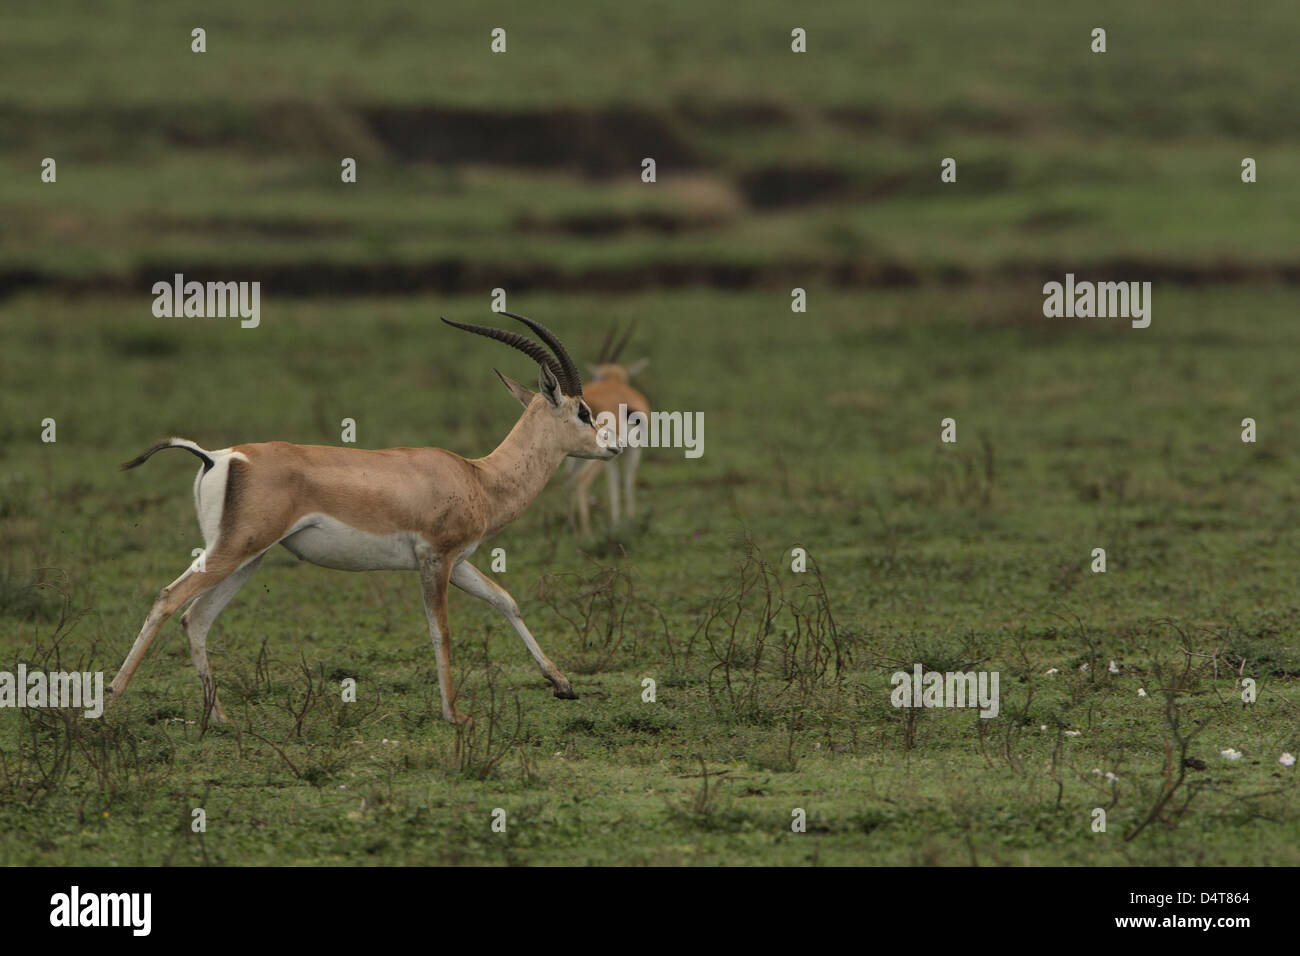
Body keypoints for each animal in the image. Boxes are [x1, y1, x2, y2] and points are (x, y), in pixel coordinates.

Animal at [108, 313, 619, 725]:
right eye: (582, 410)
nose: (612, 446)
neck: (480, 477)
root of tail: (218, 456)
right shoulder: (435, 559)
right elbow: (441, 632)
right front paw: (455, 716)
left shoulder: (458, 562)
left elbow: (505, 600)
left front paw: (563, 684)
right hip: (234, 551)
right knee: (168, 599)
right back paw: (110, 698)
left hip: (248, 557)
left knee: (195, 618)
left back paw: (220, 718)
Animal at [569, 322, 650, 535]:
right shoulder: (633, 450)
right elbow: (628, 480)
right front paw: (629, 521)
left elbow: (614, 483)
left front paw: (616, 523)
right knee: (581, 479)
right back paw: (586, 532)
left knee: (568, 479)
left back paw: (572, 527)